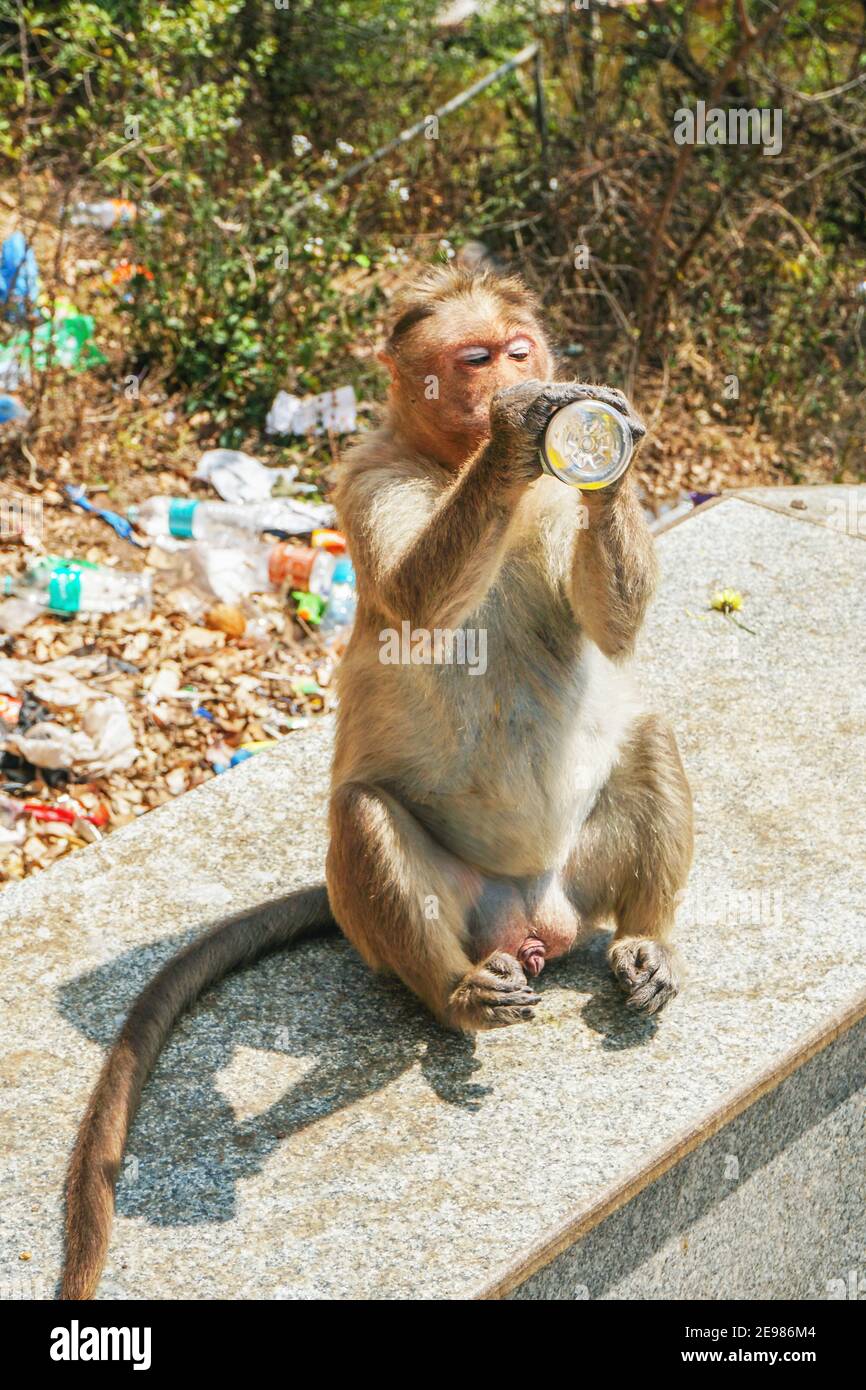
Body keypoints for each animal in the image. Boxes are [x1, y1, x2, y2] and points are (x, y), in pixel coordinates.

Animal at [60, 264, 693, 1299]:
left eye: (520, 348)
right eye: (476, 358)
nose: (513, 377)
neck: (450, 466)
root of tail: (534, 922)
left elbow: (612, 625)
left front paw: (612, 446)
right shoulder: (366, 478)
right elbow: (412, 599)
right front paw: (523, 430)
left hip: (578, 878)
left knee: (648, 733)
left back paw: (646, 942)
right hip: (456, 913)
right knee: (365, 817)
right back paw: (455, 997)